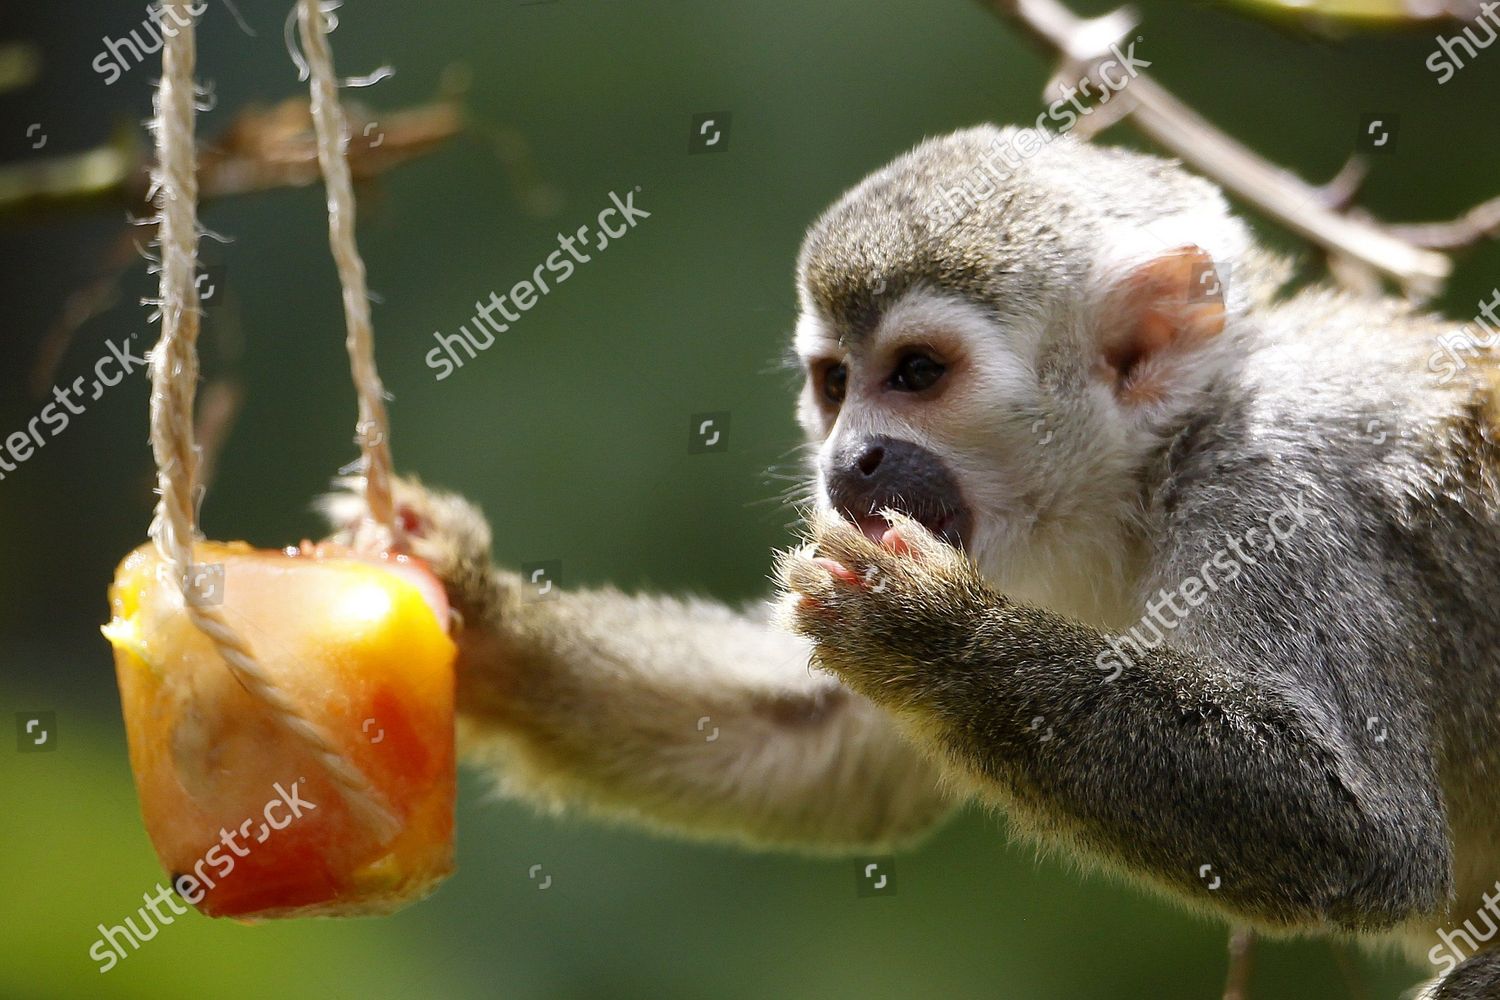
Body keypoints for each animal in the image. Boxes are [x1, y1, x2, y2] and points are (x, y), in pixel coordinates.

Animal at [322, 125, 1500, 999]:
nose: (850, 456)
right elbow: (816, 745)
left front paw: (933, 632)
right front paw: (473, 610)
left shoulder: (1284, 490)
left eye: (920, 372)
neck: (1151, 475)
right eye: (837, 383)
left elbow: (1365, 831)